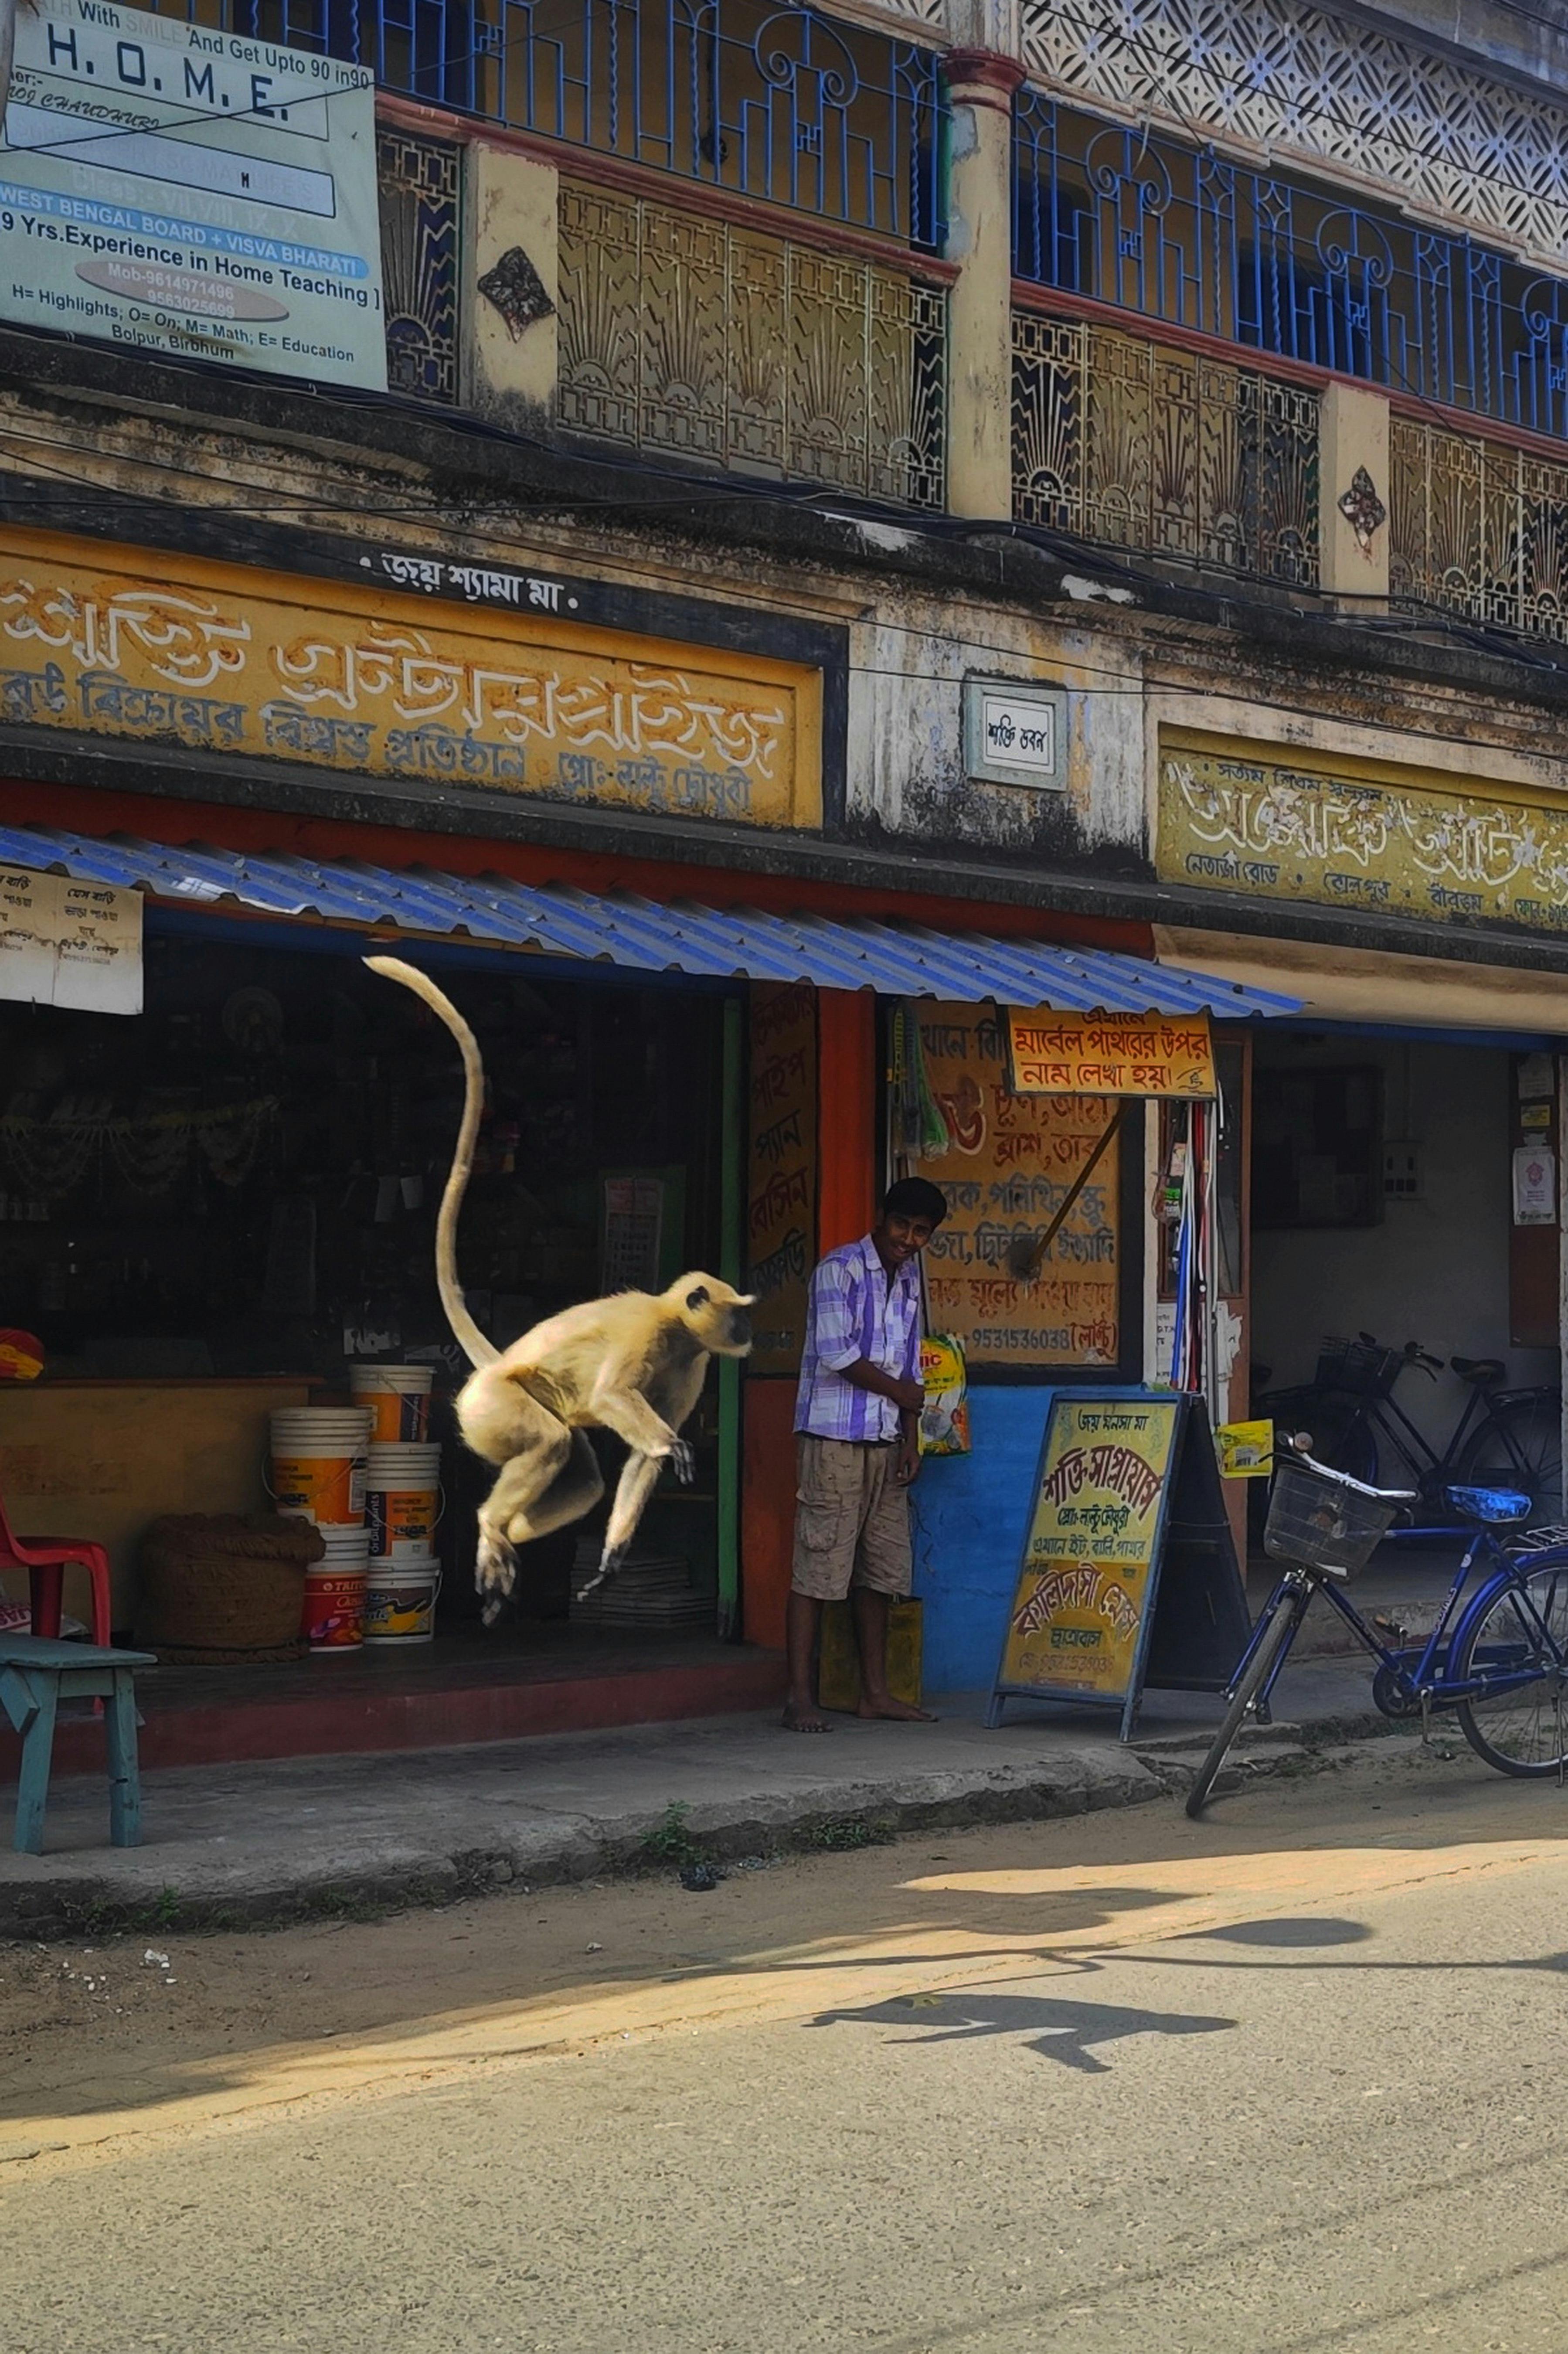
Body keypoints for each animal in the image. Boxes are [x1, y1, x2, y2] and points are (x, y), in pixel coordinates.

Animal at [365, 956, 754, 1619]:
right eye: (737, 1316)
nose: (749, 1330)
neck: (676, 1328)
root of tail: (496, 1365)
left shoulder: (693, 1358)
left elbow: (639, 1461)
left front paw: (613, 1556)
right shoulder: (648, 1331)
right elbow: (614, 1400)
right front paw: (673, 1448)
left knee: (583, 1473)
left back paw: (504, 1538)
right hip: (492, 1408)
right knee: (548, 1442)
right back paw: (490, 1526)